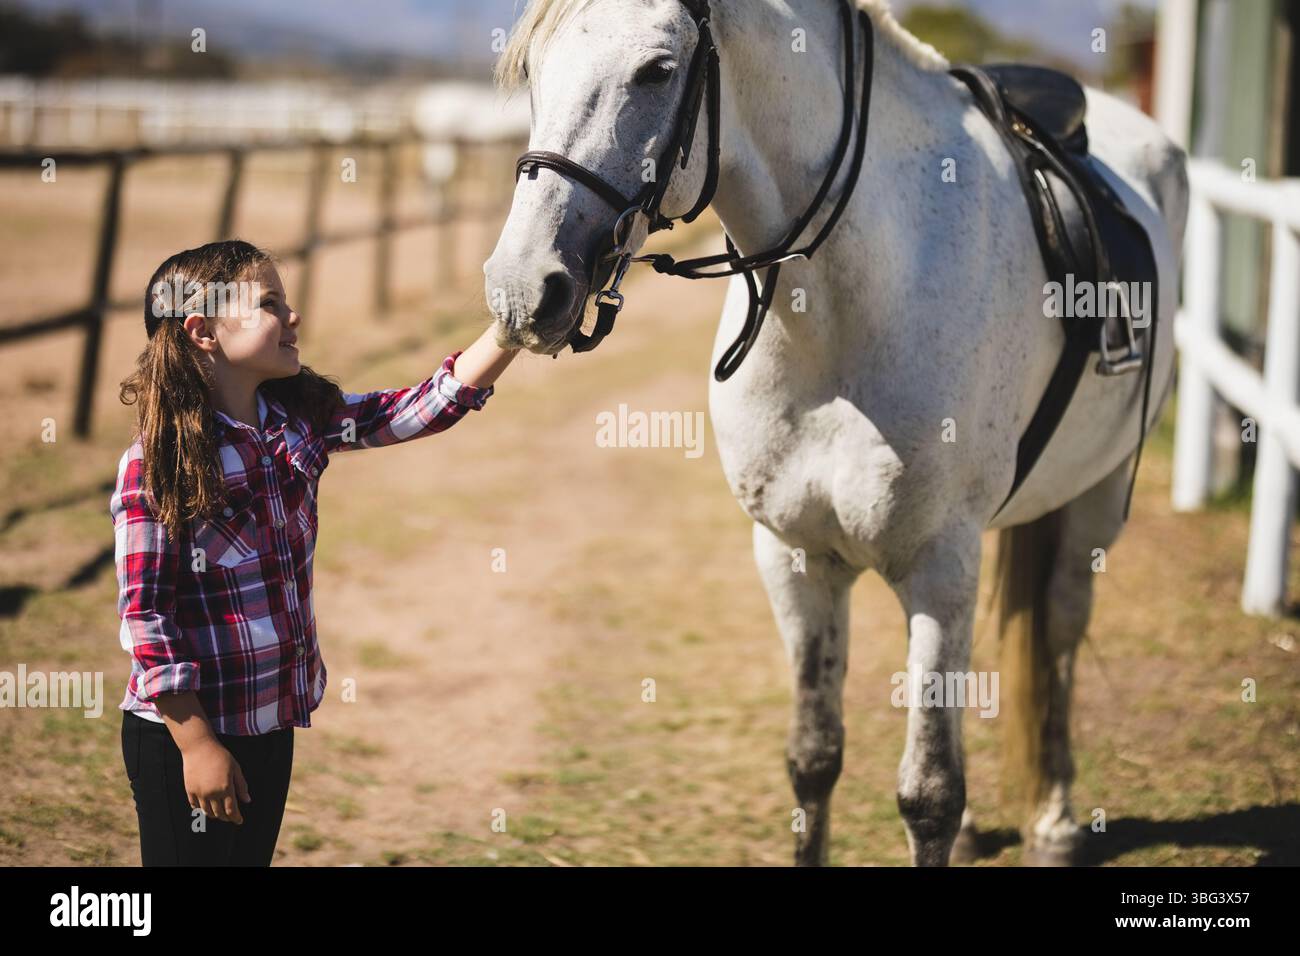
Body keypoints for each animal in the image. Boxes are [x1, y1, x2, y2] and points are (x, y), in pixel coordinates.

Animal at [483, 0, 1188, 866]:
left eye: (656, 70)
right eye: (532, 72)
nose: (521, 290)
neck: (849, 305)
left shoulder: (939, 568)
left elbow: (930, 795)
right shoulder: (795, 558)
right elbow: (813, 760)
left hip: (1095, 496)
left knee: (1057, 628)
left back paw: (1055, 820)